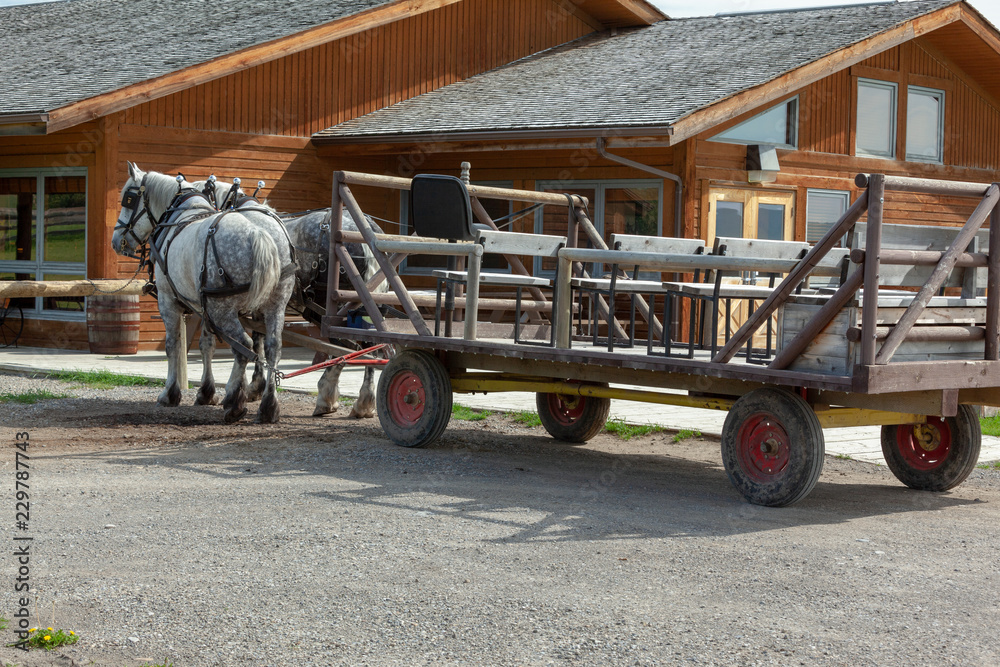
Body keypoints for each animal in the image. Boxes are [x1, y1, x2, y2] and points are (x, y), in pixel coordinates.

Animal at [112, 164, 296, 424]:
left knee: (244, 346)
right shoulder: (204, 305)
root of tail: (256, 233)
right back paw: (268, 406)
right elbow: (207, 344)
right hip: (274, 304)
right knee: (271, 347)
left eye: (128, 199)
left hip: (223, 309)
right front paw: (207, 392)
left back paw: (235, 402)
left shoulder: (169, 301)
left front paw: (170, 393)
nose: (117, 240)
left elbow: (173, 345)